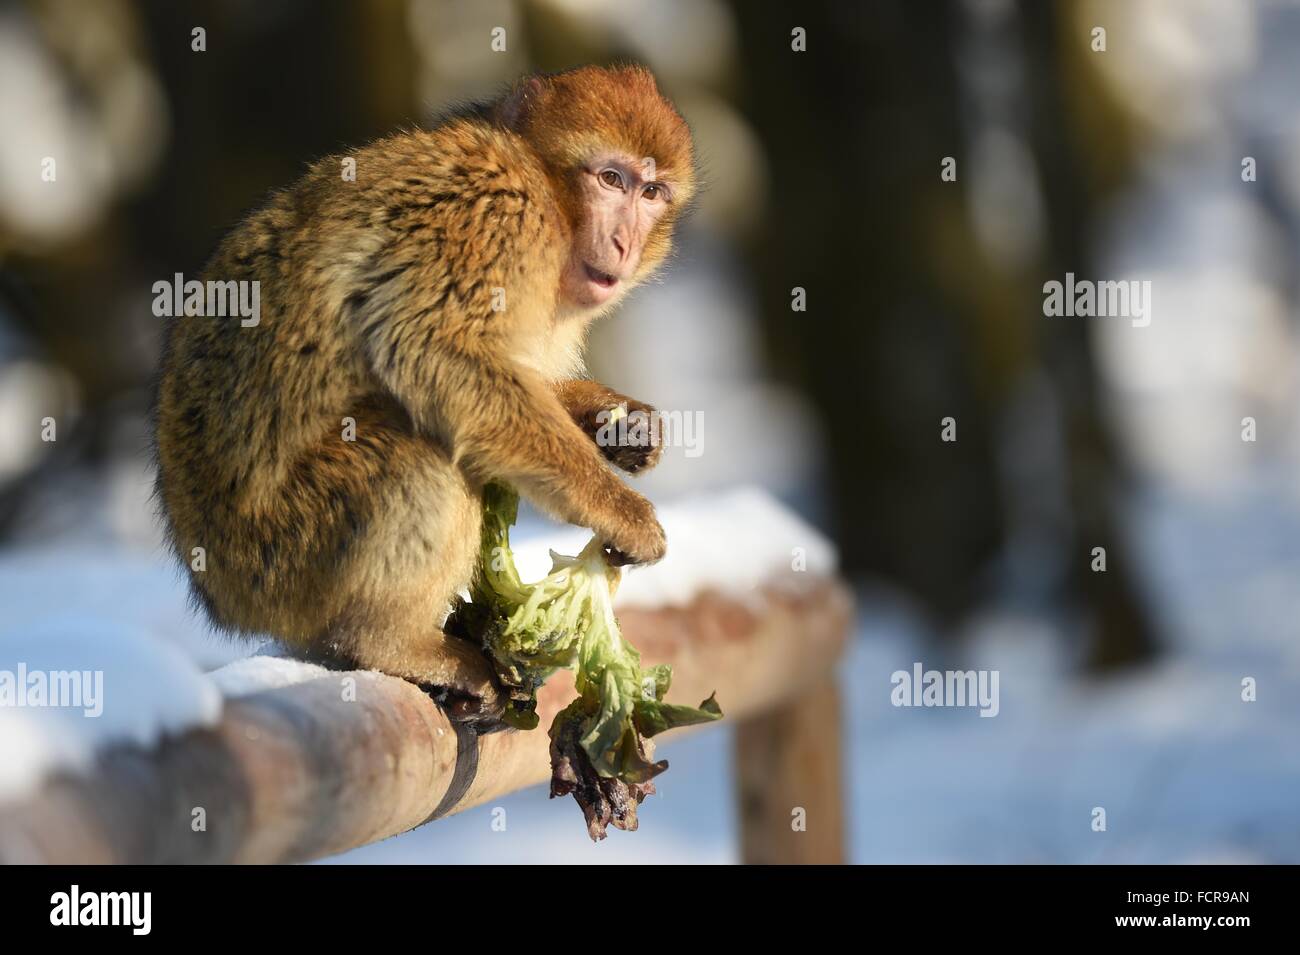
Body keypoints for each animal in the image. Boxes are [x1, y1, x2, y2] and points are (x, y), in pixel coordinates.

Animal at [152, 65, 696, 723]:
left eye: (652, 192)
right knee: (415, 457)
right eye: (611, 179)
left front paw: (622, 426)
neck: (548, 194)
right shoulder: (492, 209)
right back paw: (391, 644)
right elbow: (436, 353)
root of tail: (219, 591)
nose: (624, 243)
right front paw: (621, 511)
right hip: (285, 556)